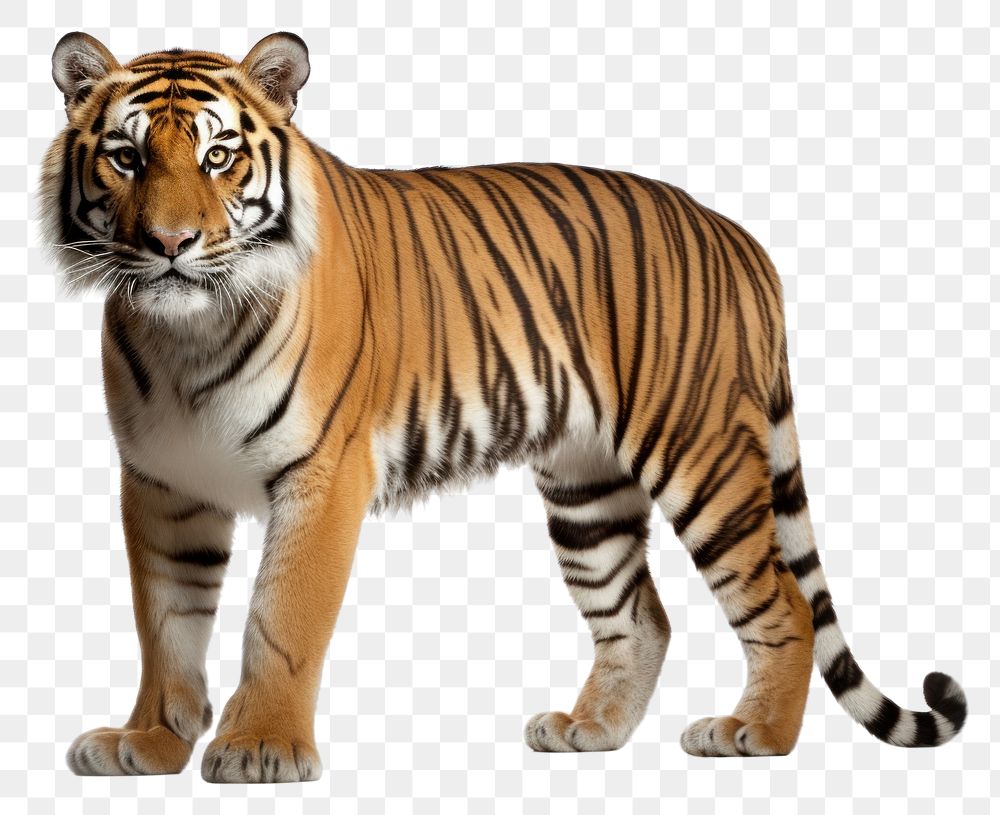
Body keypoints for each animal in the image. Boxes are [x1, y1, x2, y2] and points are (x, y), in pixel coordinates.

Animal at [40, 31, 967, 783]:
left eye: (219, 157)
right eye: (126, 160)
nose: (169, 245)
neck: (186, 336)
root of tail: (737, 235)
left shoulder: (321, 478)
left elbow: (280, 617)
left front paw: (261, 747)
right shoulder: (161, 486)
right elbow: (165, 621)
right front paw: (149, 741)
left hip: (703, 457)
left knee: (783, 600)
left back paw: (755, 733)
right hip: (587, 488)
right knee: (642, 616)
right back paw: (591, 730)